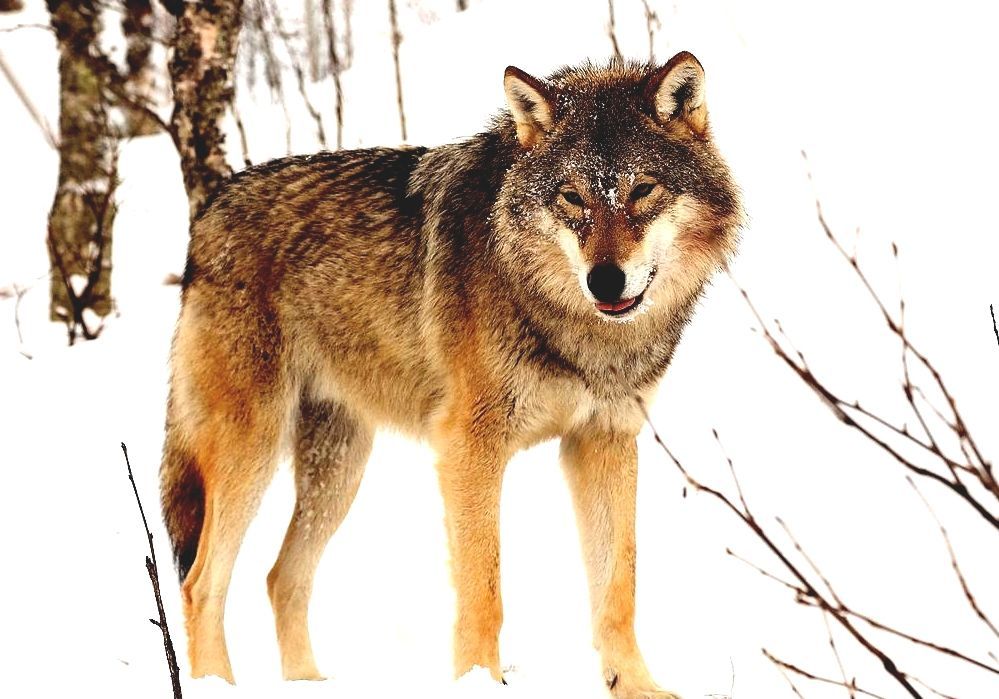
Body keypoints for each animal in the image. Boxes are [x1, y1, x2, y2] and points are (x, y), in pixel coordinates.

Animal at [160, 51, 741, 698]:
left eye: (642, 190)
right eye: (571, 197)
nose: (605, 280)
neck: (574, 326)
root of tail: (209, 210)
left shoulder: (605, 440)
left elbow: (619, 588)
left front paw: (636, 686)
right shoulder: (470, 447)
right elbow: (484, 590)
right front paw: (480, 681)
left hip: (338, 469)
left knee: (281, 577)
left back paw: (309, 682)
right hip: (253, 451)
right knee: (201, 583)